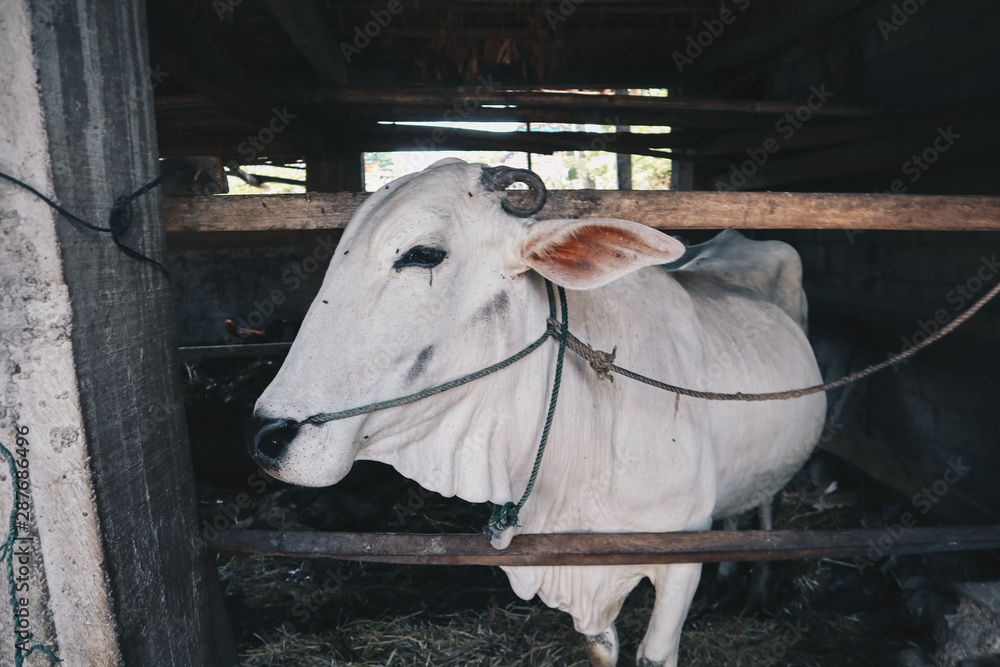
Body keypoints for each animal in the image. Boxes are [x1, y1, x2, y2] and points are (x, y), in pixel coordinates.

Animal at [247, 159, 826, 667]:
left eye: (423, 254)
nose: (269, 437)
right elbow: (603, 648)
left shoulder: (680, 558)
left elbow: (656, 652)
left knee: (766, 505)